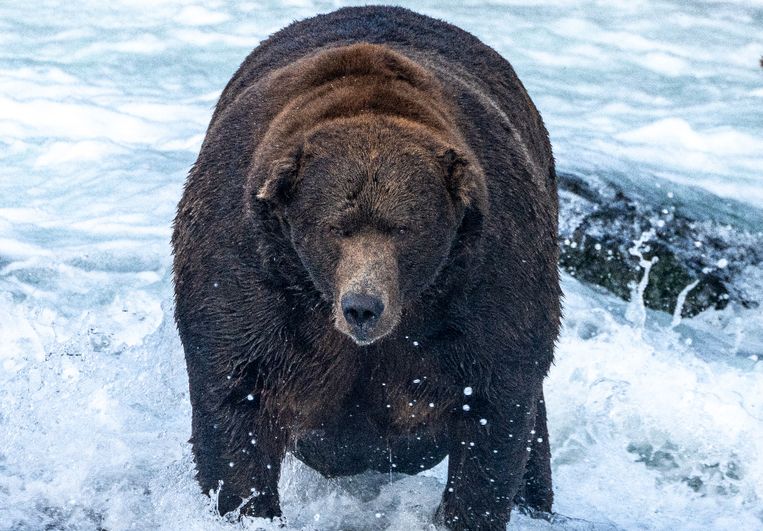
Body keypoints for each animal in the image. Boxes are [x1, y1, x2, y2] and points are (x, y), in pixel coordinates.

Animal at [172, 6, 560, 530]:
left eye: (403, 228)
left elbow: (493, 408)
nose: (362, 307)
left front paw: (466, 510)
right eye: (336, 226)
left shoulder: (486, 273)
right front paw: (248, 505)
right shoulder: (249, 265)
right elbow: (238, 398)